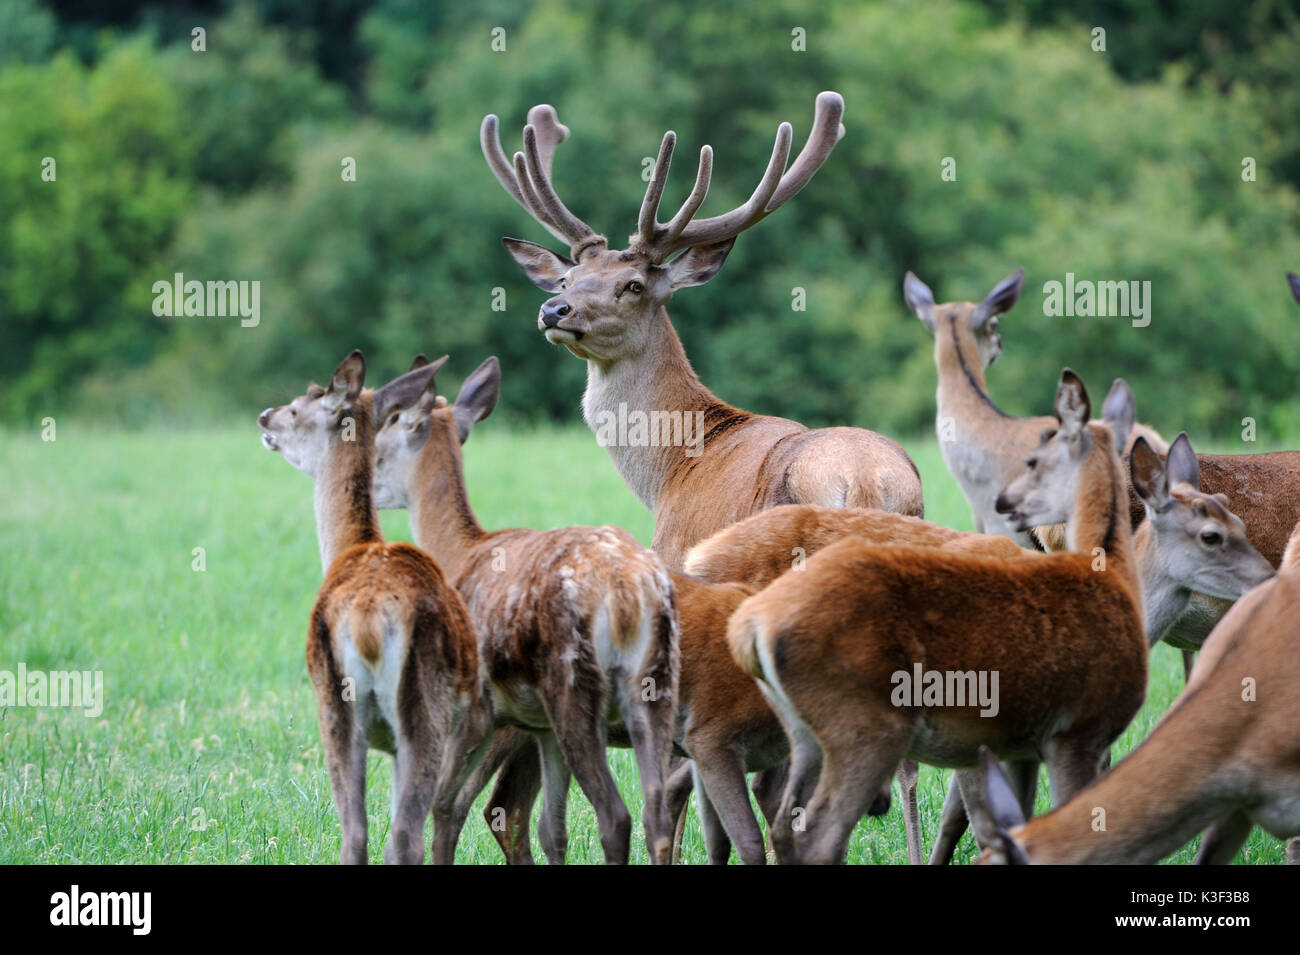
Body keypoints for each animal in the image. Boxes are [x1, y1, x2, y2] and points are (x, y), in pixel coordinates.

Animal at [256, 350, 491, 864]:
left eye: (299, 407)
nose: (265, 417)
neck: (354, 546)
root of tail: (366, 618)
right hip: (398, 712)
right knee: (385, 834)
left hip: (359, 707)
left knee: (377, 834)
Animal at [369, 354, 680, 864]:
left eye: (381, 443)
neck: (460, 551)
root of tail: (628, 593)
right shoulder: (532, 726)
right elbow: (546, 827)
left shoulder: (471, 707)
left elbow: (445, 806)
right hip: (653, 692)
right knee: (654, 812)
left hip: (572, 689)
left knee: (614, 815)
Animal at [482, 92, 924, 570]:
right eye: (567, 279)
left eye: (634, 285)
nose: (553, 310)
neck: (669, 473)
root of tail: (865, 481)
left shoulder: (674, 553)